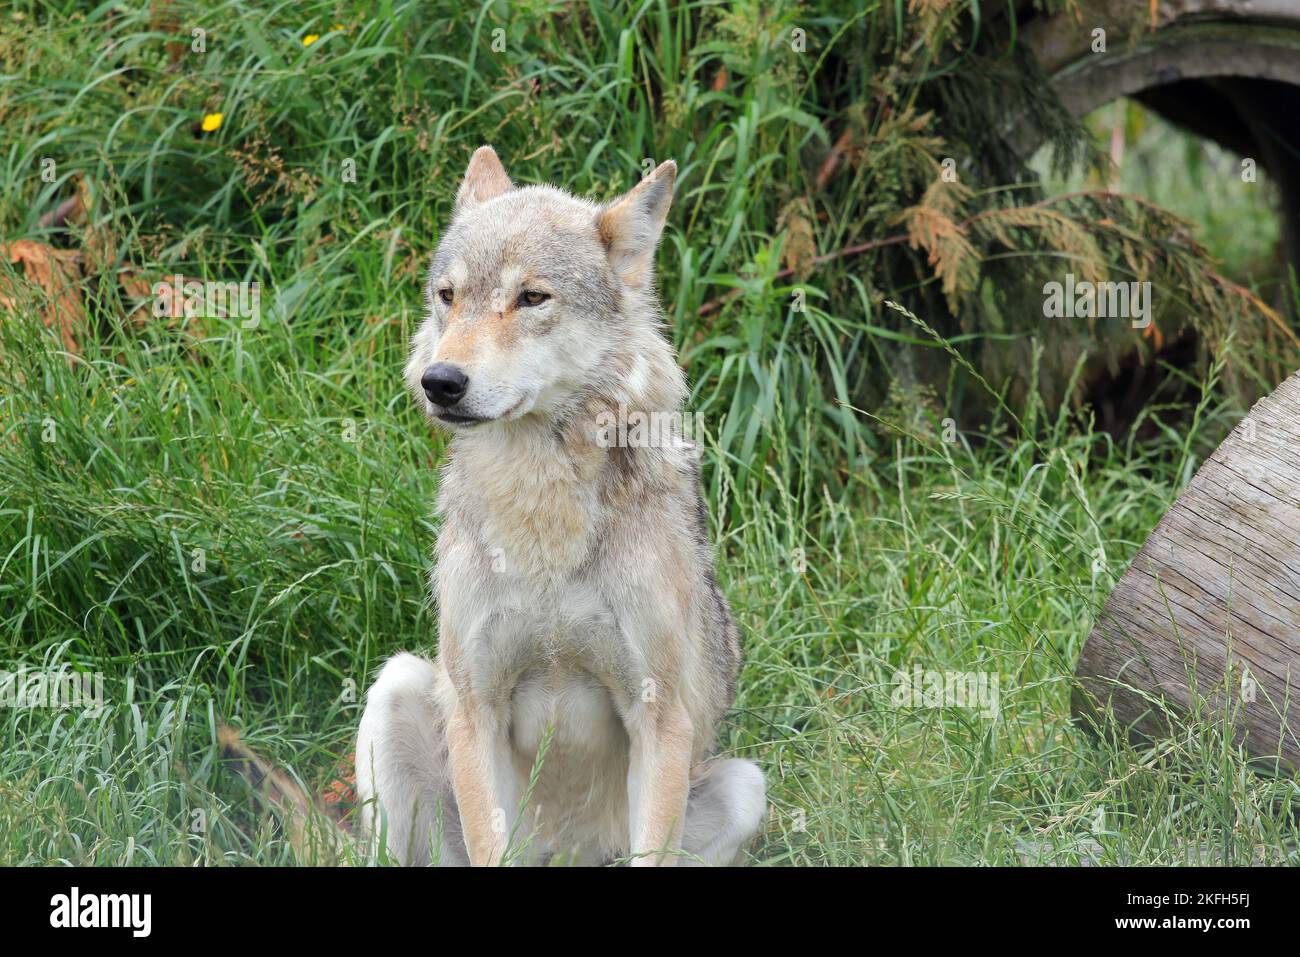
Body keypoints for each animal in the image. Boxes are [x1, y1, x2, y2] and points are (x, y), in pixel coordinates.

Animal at [354, 147, 765, 866]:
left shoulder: (659, 715)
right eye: (448, 297)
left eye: (531, 297)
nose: (441, 381)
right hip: (397, 686)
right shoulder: (476, 708)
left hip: (744, 786)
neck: (540, 510)